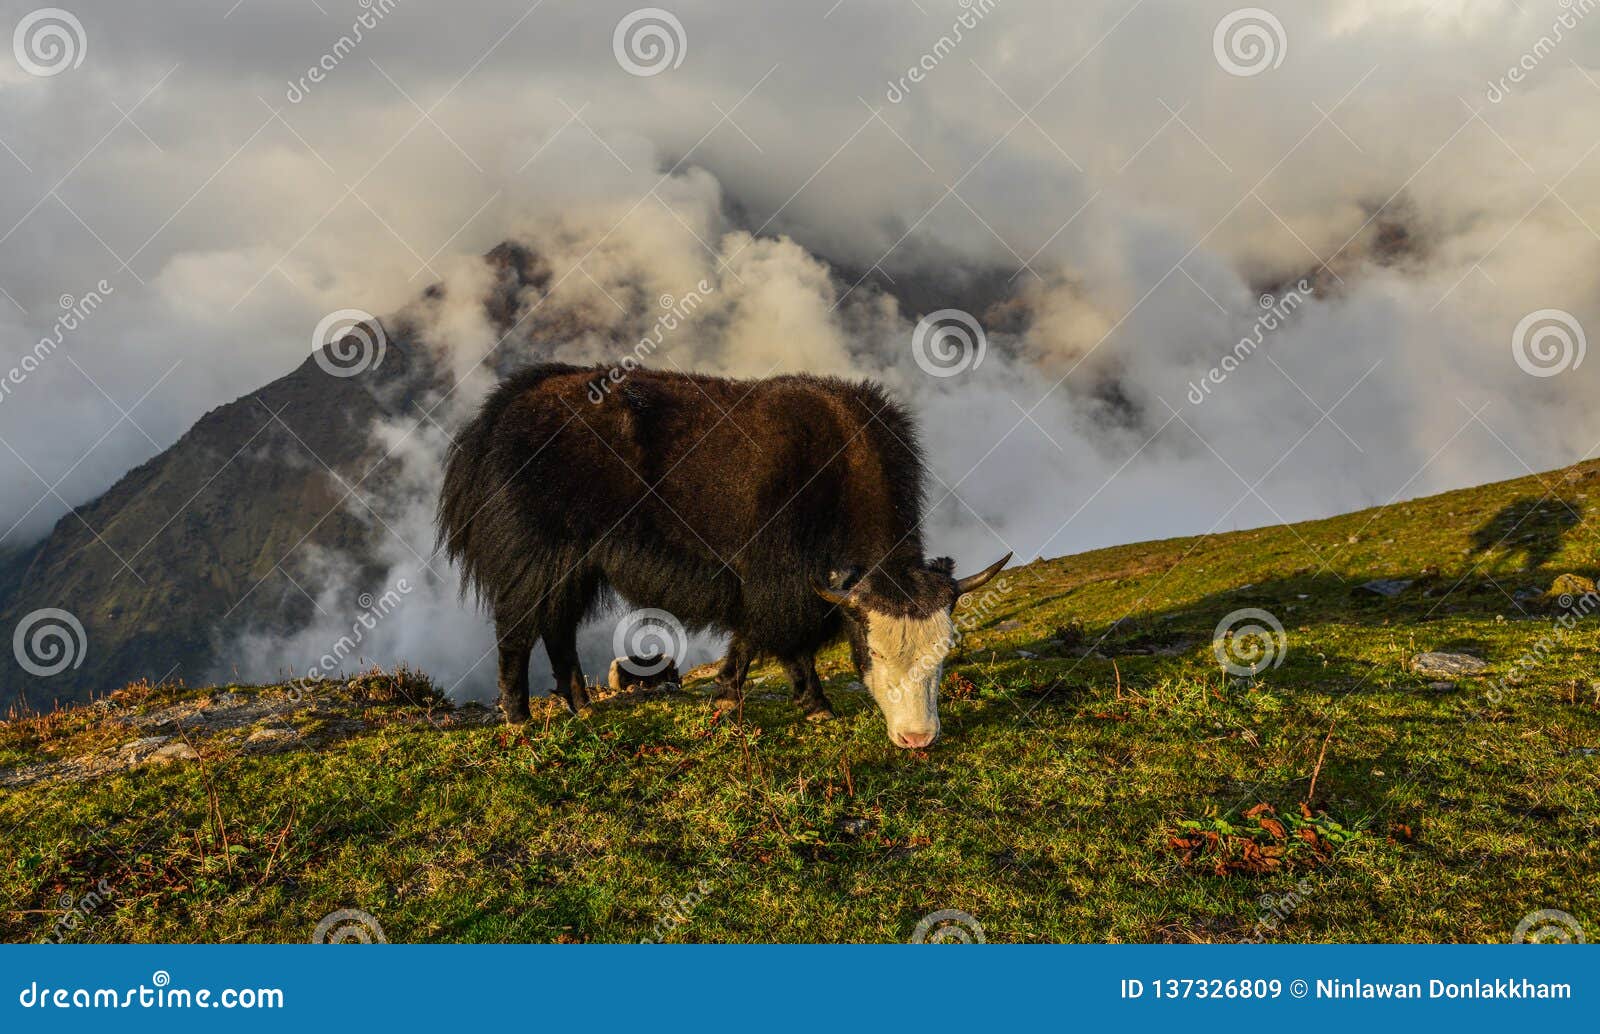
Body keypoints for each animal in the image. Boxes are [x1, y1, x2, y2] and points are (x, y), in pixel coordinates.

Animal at [437, 362, 1009, 748]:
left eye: (944, 653)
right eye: (875, 654)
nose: (918, 738)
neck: (841, 468)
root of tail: (503, 408)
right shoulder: (777, 575)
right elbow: (771, 633)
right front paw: (794, 702)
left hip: (577, 562)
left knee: (558, 625)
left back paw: (581, 708)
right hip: (535, 551)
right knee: (517, 627)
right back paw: (519, 718)